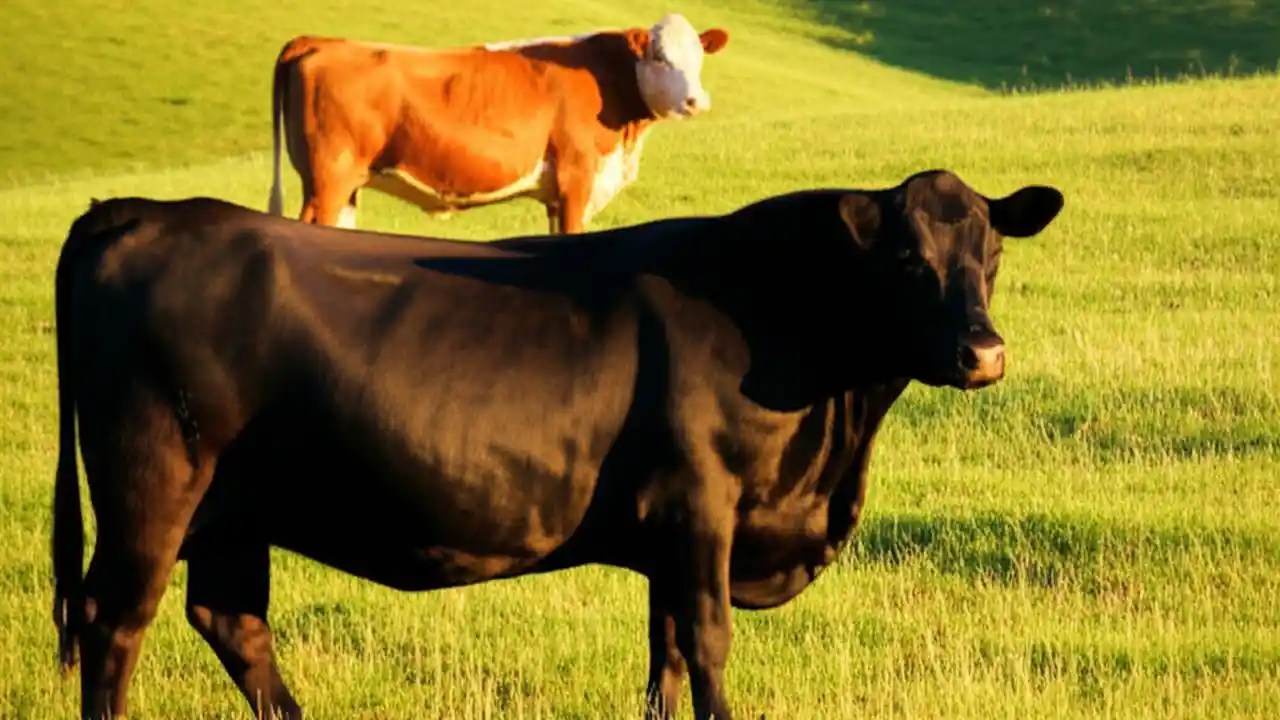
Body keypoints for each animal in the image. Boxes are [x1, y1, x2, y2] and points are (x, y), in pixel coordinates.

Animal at [52, 169, 1063, 719]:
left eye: (993, 256)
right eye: (908, 260)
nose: (984, 353)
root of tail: (134, 211)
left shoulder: (667, 533)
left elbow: (664, 654)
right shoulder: (701, 509)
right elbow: (707, 644)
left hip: (234, 507)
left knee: (231, 622)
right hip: (152, 486)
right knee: (116, 624)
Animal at [266, 13, 730, 234]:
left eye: (700, 57)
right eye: (659, 56)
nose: (697, 101)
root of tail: (321, 41)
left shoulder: (556, 196)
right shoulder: (576, 180)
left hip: (347, 184)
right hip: (329, 179)